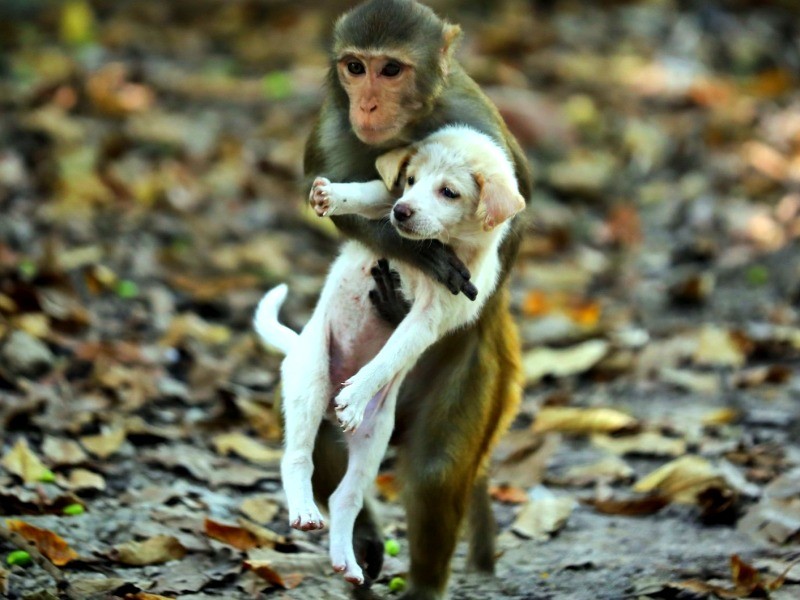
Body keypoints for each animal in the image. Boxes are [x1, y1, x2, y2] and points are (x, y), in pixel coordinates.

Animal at [302, 1, 532, 598]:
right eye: (354, 67)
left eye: (391, 70)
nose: (367, 103)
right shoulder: (333, 121)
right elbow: (355, 202)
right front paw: (418, 250)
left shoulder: (478, 125)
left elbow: (509, 231)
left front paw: (426, 261)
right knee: (323, 439)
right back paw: (360, 539)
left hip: (477, 372)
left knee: (435, 468)